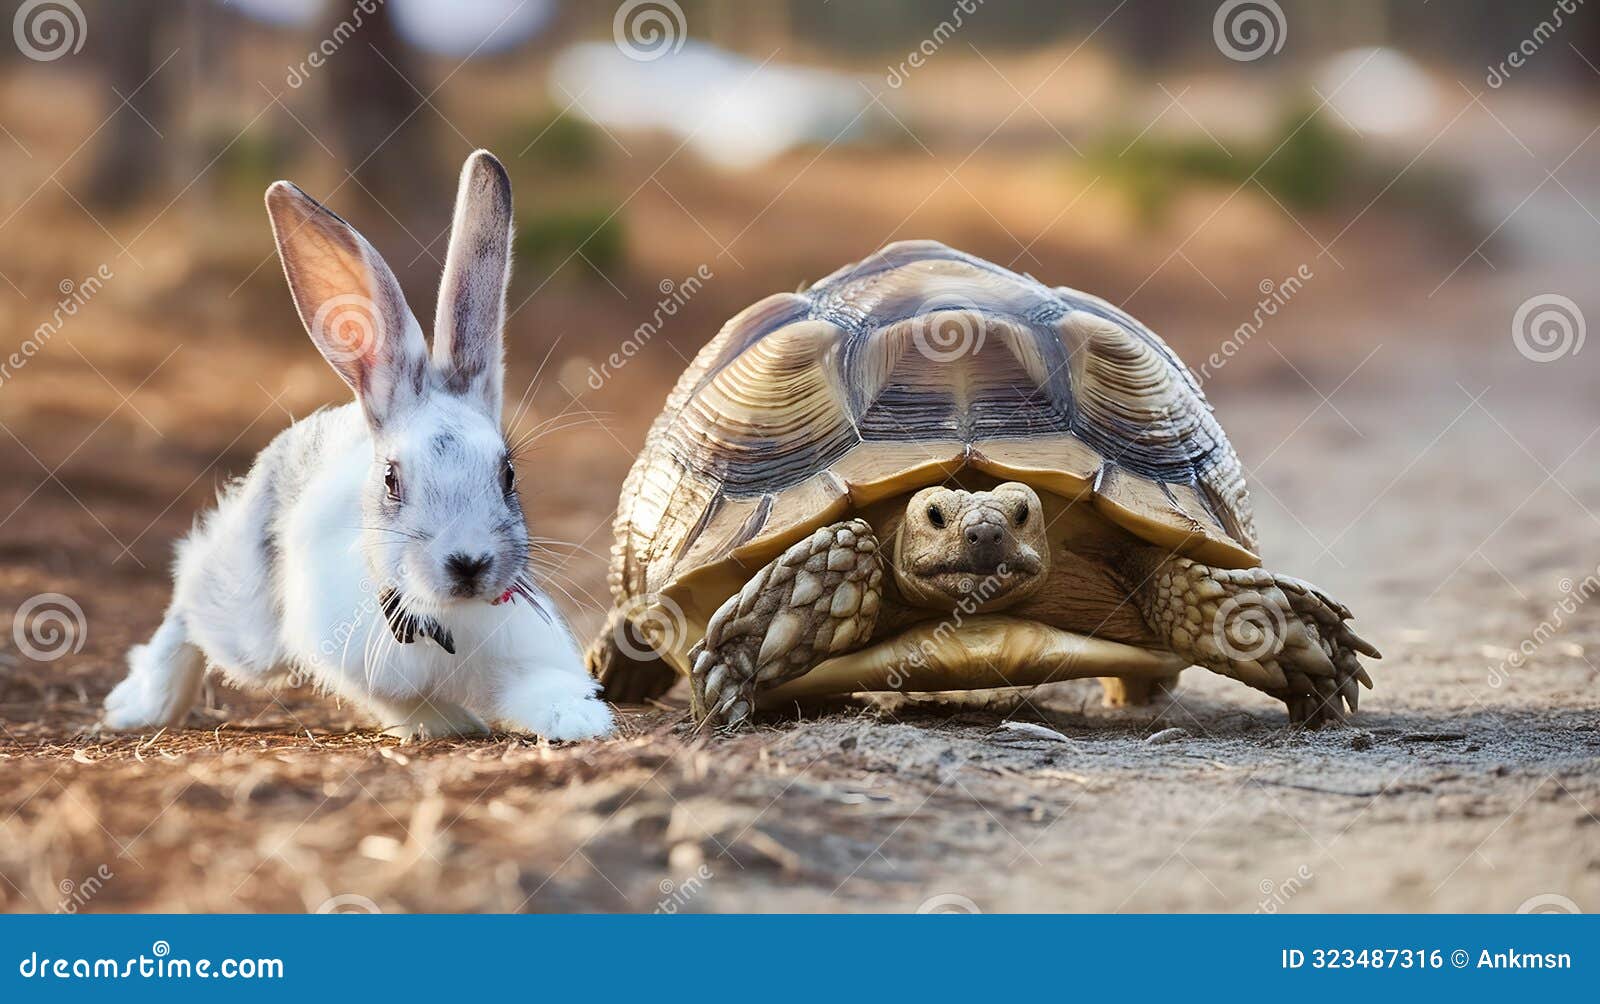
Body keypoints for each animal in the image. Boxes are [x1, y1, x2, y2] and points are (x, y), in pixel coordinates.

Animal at [102, 150, 614, 742]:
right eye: (392, 480)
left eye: (508, 475)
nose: (469, 562)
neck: (443, 613)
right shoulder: (354, 661)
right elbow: (406, 703)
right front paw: (450, 722)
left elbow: (541, 687)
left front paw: (579, 719)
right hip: (249, 625)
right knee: (189, 603)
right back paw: (139, 703)